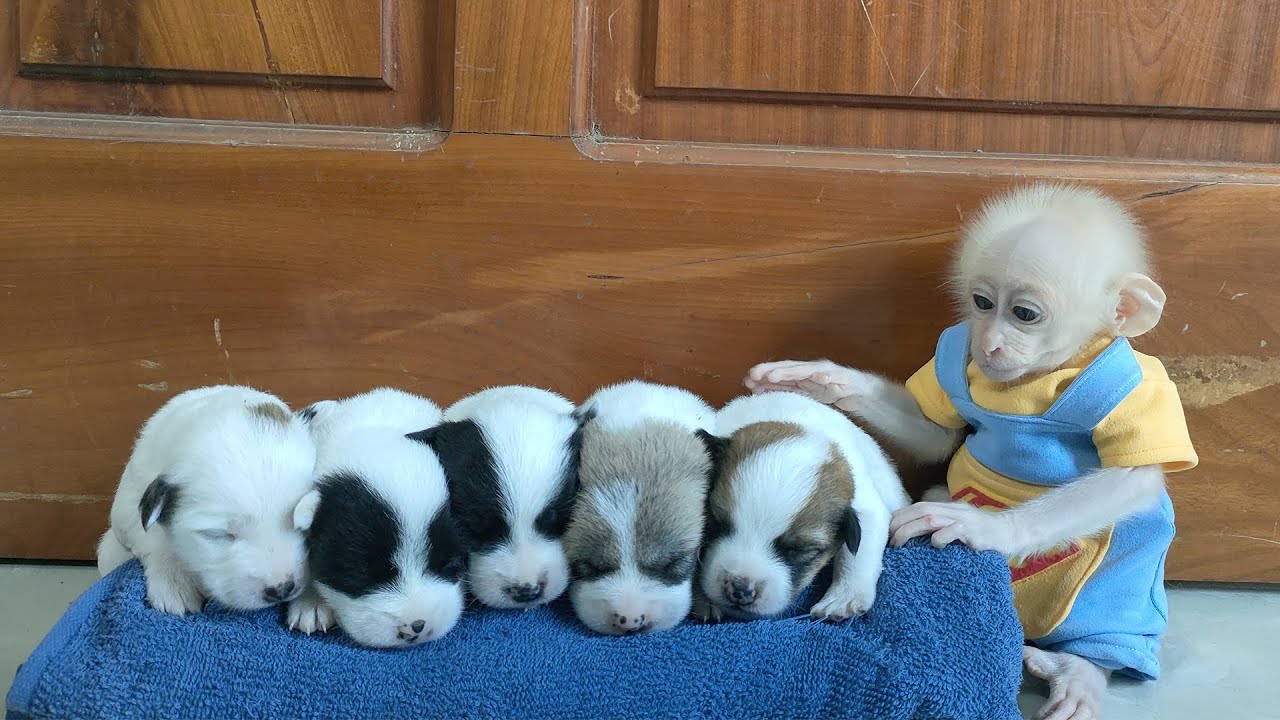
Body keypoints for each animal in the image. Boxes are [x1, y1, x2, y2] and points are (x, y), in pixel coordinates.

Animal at [744, 184, 1198, 720]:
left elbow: (1134, 477)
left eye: (1024, 314)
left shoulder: (1137, 386)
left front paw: (987, 528)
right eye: (983, 303)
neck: (1037, 379)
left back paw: (1081, 668)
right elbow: (936, 435)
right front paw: (824, 380)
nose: (990, 343)